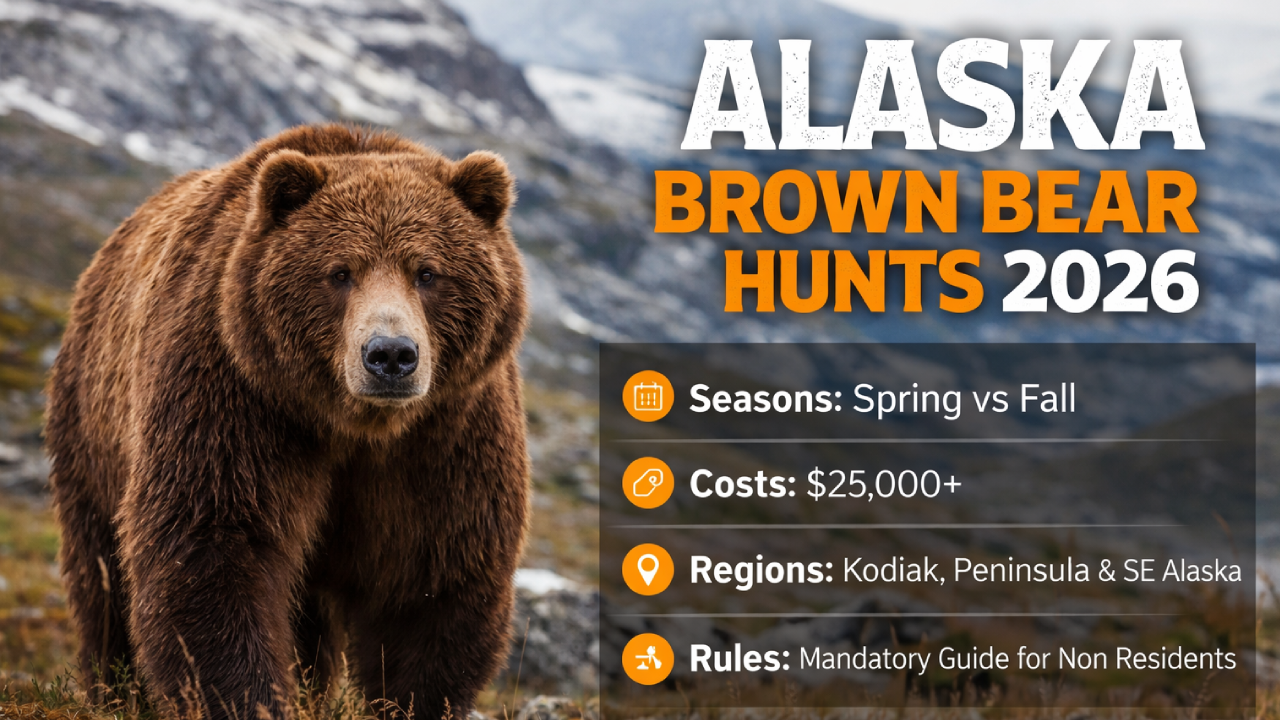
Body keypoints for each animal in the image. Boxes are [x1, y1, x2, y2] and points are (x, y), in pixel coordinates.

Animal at [44, 124, 530, 720]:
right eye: (340, 272)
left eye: (427, 272)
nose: (390, 355)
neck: (357, 427)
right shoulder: (239, 395)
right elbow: (215, 544)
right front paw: (249, 698)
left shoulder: (448, 435)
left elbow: (434, 575)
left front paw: (407, 699)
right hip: (92, 427)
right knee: (102, 576)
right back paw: (117, 691)